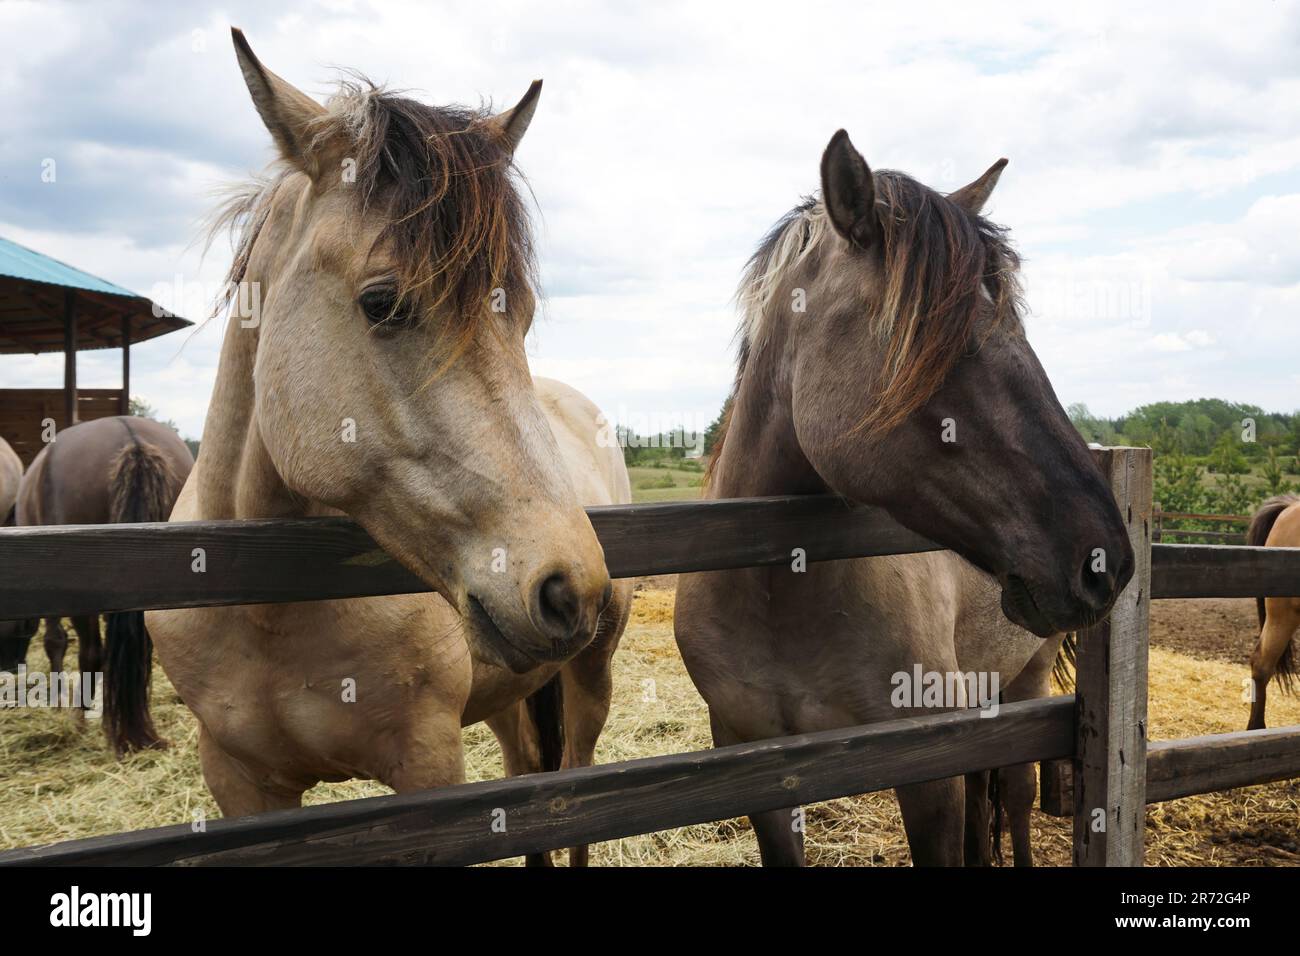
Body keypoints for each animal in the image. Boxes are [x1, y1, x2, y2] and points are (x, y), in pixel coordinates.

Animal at [145, 30, 633, 867]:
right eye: (383, 303)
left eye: (522, 313)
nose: (569, 588)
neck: (268, 609)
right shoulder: (239, 782)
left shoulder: (426, 766)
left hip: (588, 680)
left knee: (576, 790)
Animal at [674, 130, 1134, 867]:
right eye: (935, 337)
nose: (1105, 560)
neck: (779, 591)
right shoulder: (757, 770)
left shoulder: (926, 776)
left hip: (1024, 682)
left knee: (1016, 796)